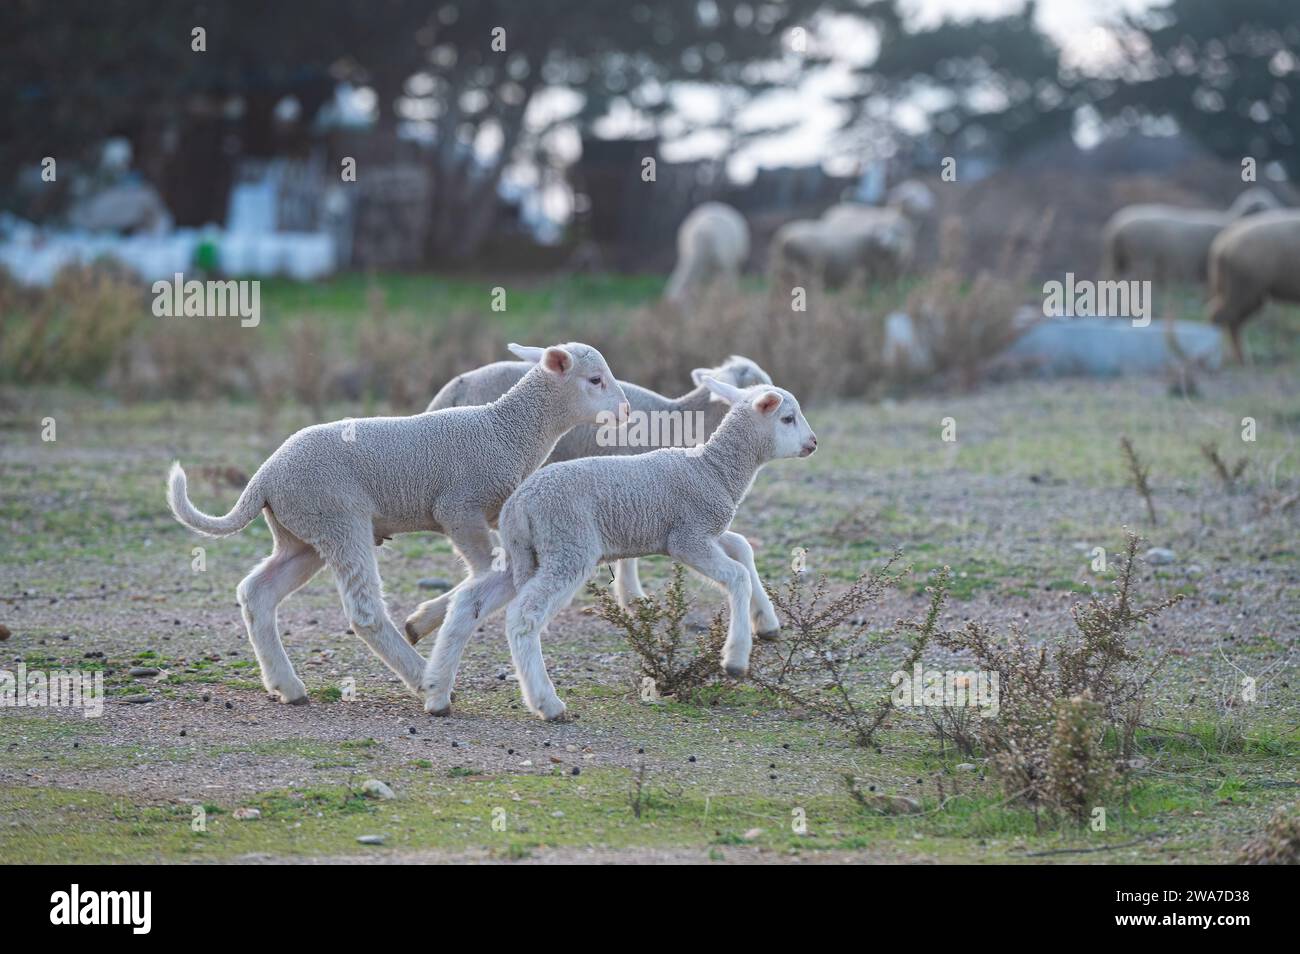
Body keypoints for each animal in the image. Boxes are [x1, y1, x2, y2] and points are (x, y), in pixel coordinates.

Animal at [165, 343, 628, 705]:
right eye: (595, 380)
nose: (625, 409)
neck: (507, 430)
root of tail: (263, 477)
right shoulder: (458, 508)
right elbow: (485, 570)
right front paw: (424, 621)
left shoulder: (492, 512)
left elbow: (490, 573)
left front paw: (428, 616)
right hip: (339, 519)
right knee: (364, 612)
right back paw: (423, 679)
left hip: (302, 534)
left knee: (257, 593)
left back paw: (287, 686)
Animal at [418, 376, 817, 721]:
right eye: (787, 417)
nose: (813, 443)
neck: (714, 470)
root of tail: (518, 506)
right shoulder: (687, 537)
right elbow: (736, 575)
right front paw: (735, 659)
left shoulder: (706, 532)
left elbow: (742, 548)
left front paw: (765, 621)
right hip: (567, 547)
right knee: (523, 617)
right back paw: (547, 703)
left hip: (525, 555)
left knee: (468, 602)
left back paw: (437, 692)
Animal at [1101, 187, 1279, 282]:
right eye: (1264, 206)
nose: (1278, 214)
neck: (1230, 221)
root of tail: (1117, 228)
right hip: (1141, 259)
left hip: (1117, 260)